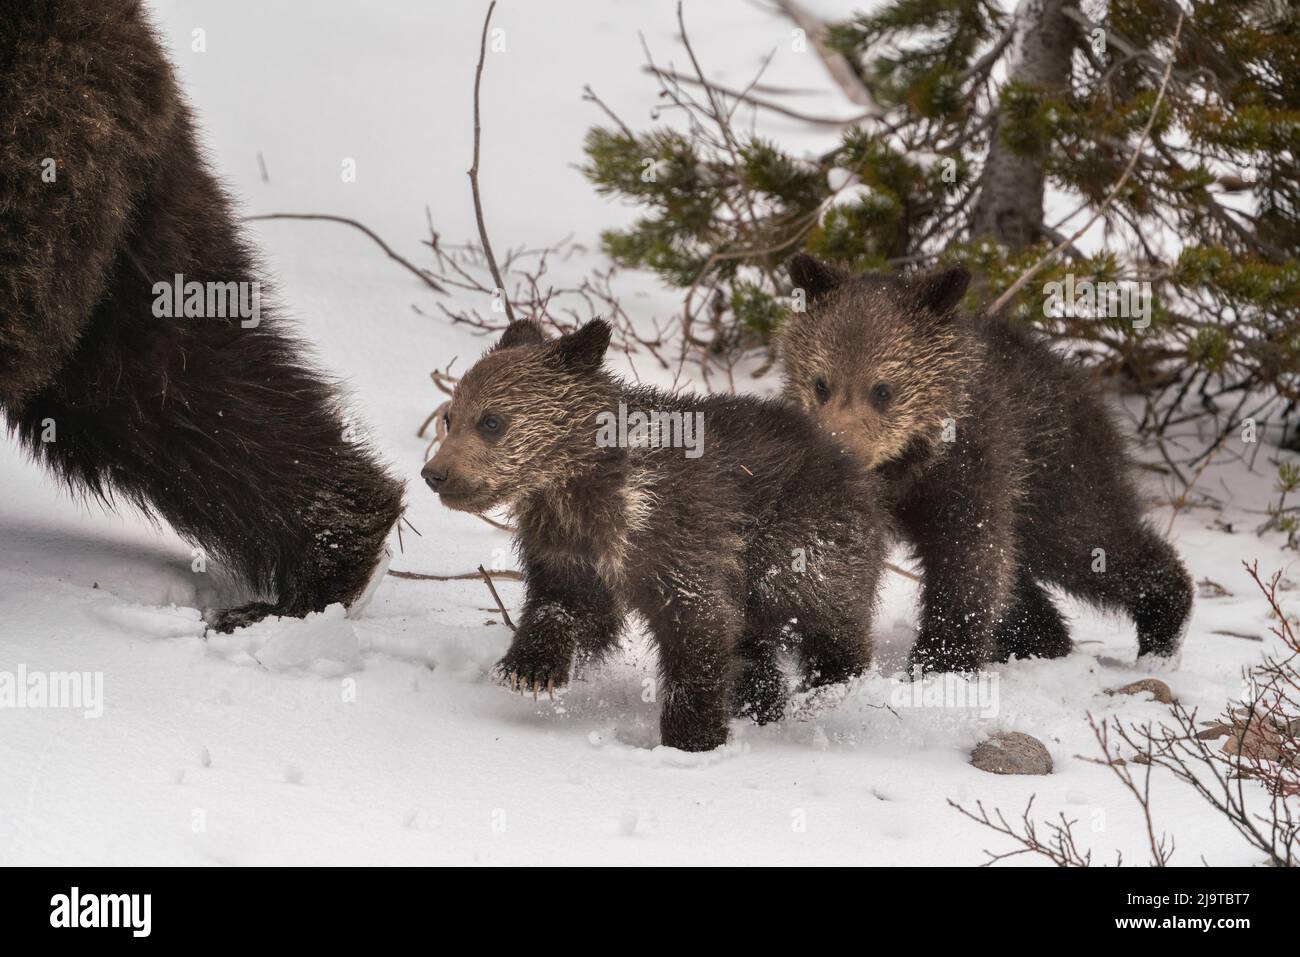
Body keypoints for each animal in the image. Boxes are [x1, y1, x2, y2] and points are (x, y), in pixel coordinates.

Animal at [422, 318, 890, 751]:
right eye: (451, 416)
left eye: (492, 421)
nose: (435, 473)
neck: (581, 492)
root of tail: (847, 461)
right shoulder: (568, 548)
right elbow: (565, 605)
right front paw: (529, 669)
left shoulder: (674, 534)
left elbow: (698, 627)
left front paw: (691, 736)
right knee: (756, 643)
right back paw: (760, 704)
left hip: (801, 538)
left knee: (823, 611)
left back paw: (827, 687)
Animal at [779, 253, 1194, 673]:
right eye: (820, 383)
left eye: (882, 389)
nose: (840, 451)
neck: (910, 463)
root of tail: (1080, 380)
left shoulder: (974, 468)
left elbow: (970, 562)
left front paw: (940, 662)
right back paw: (1041, 640)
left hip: (1057, 475)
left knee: (1092, 541)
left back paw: (1161, 631)